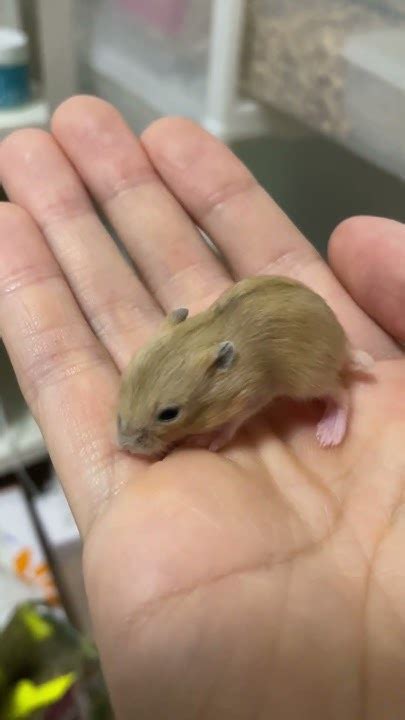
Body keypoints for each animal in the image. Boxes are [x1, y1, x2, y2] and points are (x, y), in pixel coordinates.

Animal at [117, 275, 373, 457]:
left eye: (169, 414)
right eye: (124, 384)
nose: (125, 446)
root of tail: (344, 344)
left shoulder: (252, 398)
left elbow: (230, 425)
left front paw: (204, 441)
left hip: (309, 381)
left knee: (342, 394)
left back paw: (329, 435)